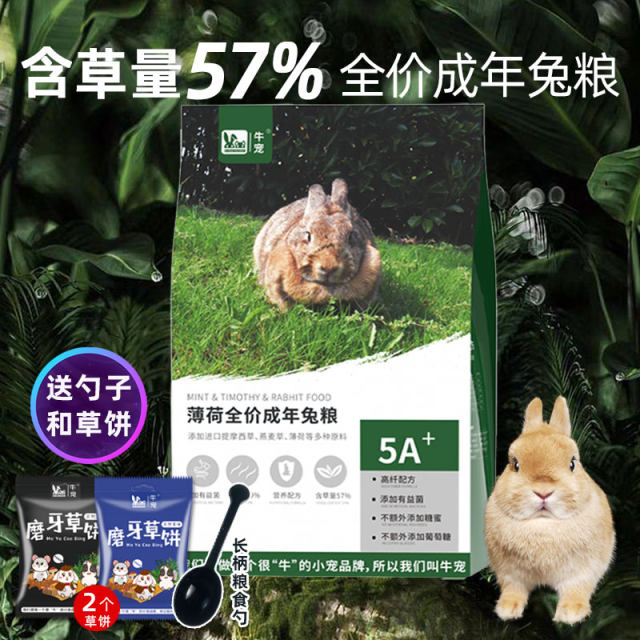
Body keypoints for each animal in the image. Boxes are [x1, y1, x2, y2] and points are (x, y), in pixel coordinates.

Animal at [485, 396, 614, 625]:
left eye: (572, 463)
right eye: (514, 464)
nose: (543, 492)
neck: (544, 524)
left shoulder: (583, 571)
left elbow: (576, 589)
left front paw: (571, 614)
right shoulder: (510, 573)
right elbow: (513, 589)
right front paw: (507, 609)